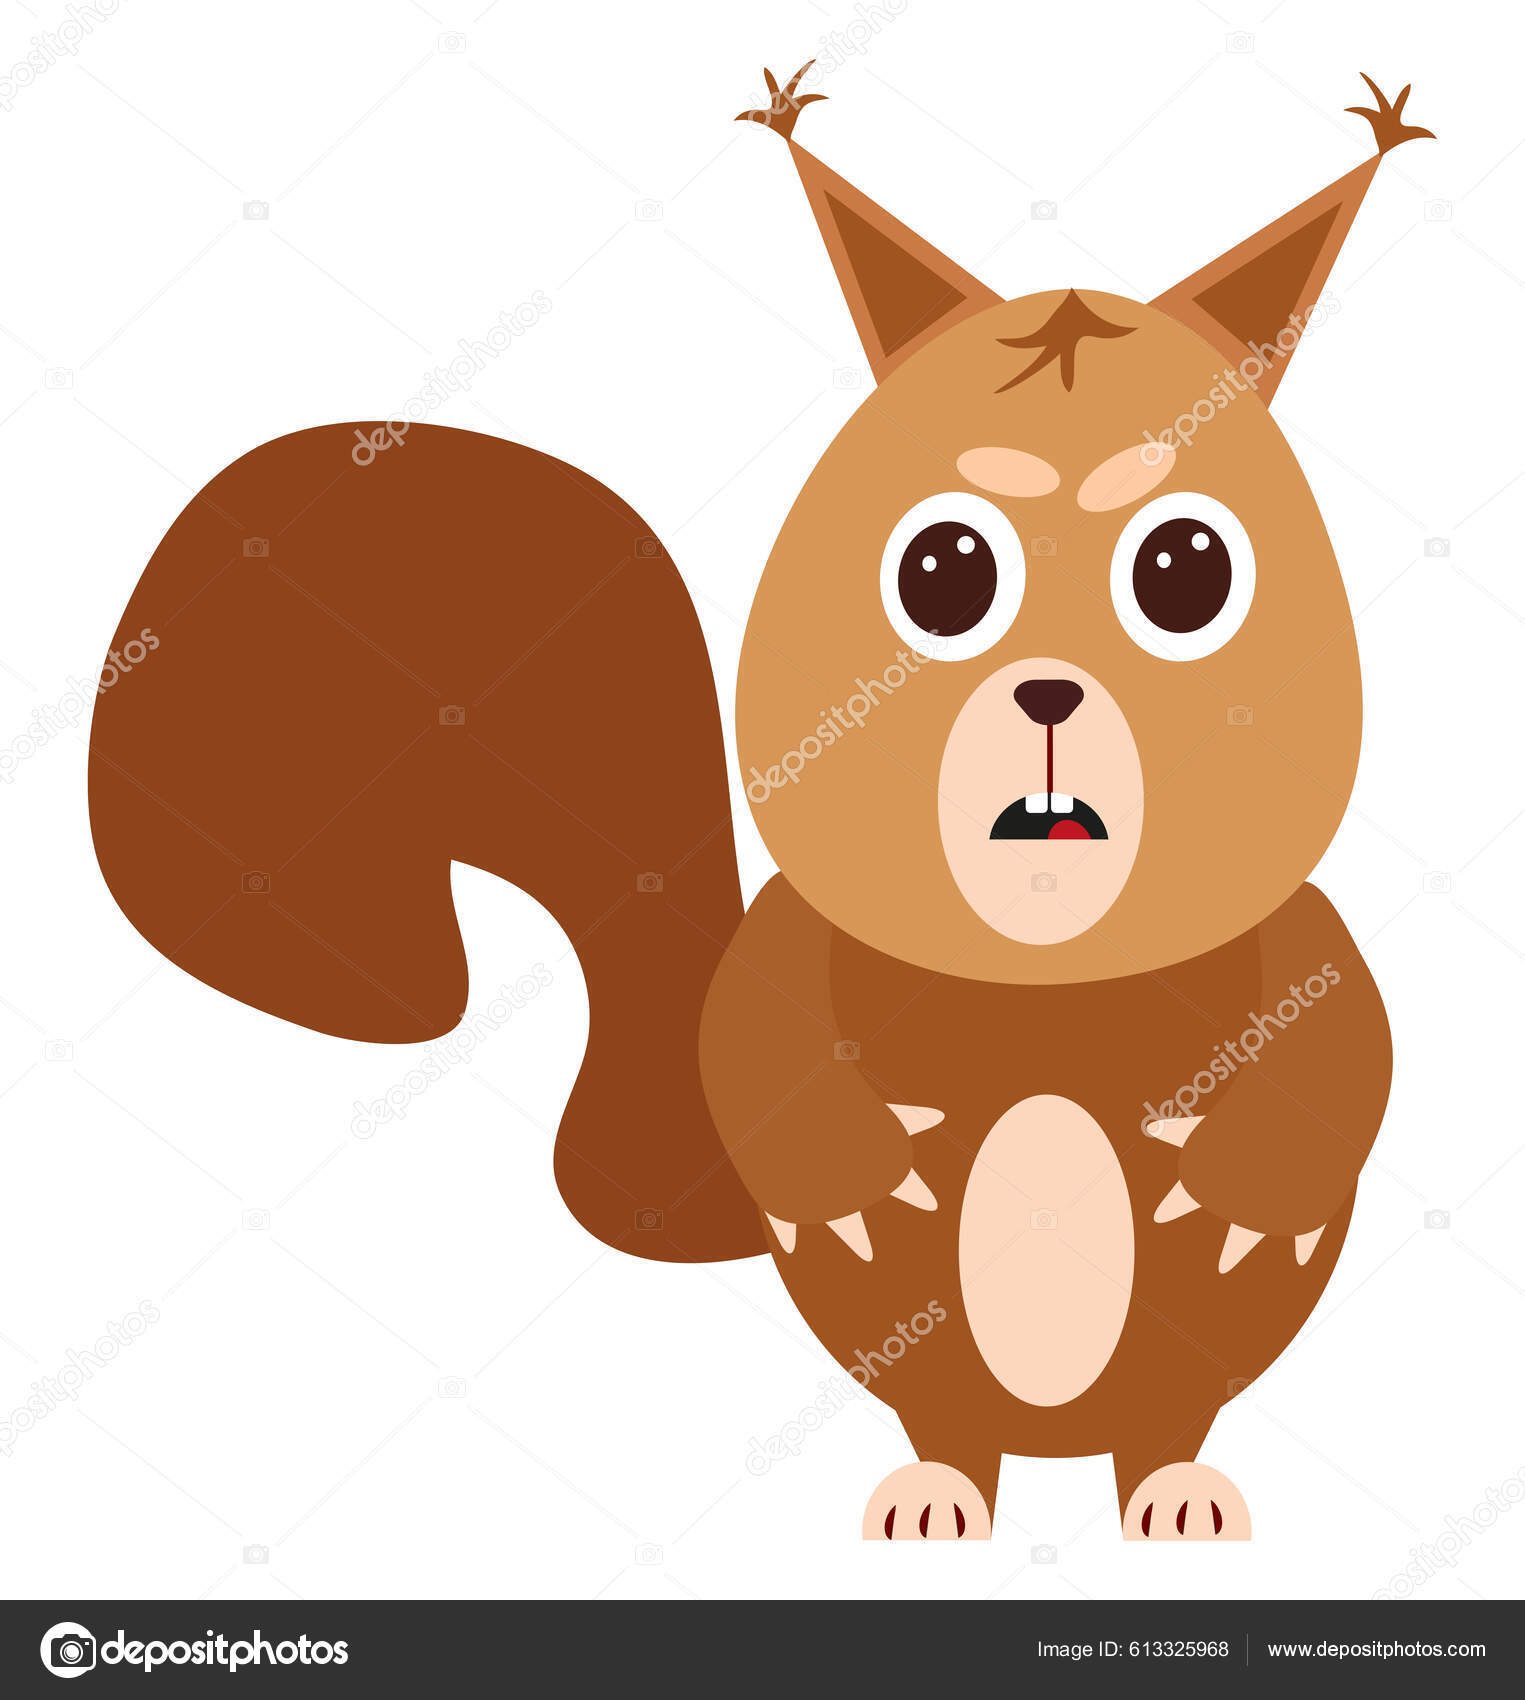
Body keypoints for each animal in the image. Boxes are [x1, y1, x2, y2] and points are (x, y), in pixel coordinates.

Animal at [89, 68, 1424, 1541]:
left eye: (1185, 569)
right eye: (943, 570)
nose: (1048, 694)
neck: (1041, 985)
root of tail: (1055, 1450)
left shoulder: (1300, 943)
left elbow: (1343, 1042)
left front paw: (1240, 1186)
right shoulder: (795, 952)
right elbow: (758, 1042)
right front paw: (862, 1171)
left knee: (1166, 1420)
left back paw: (1172, 1489)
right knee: (942, 1418)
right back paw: (936, 1491)